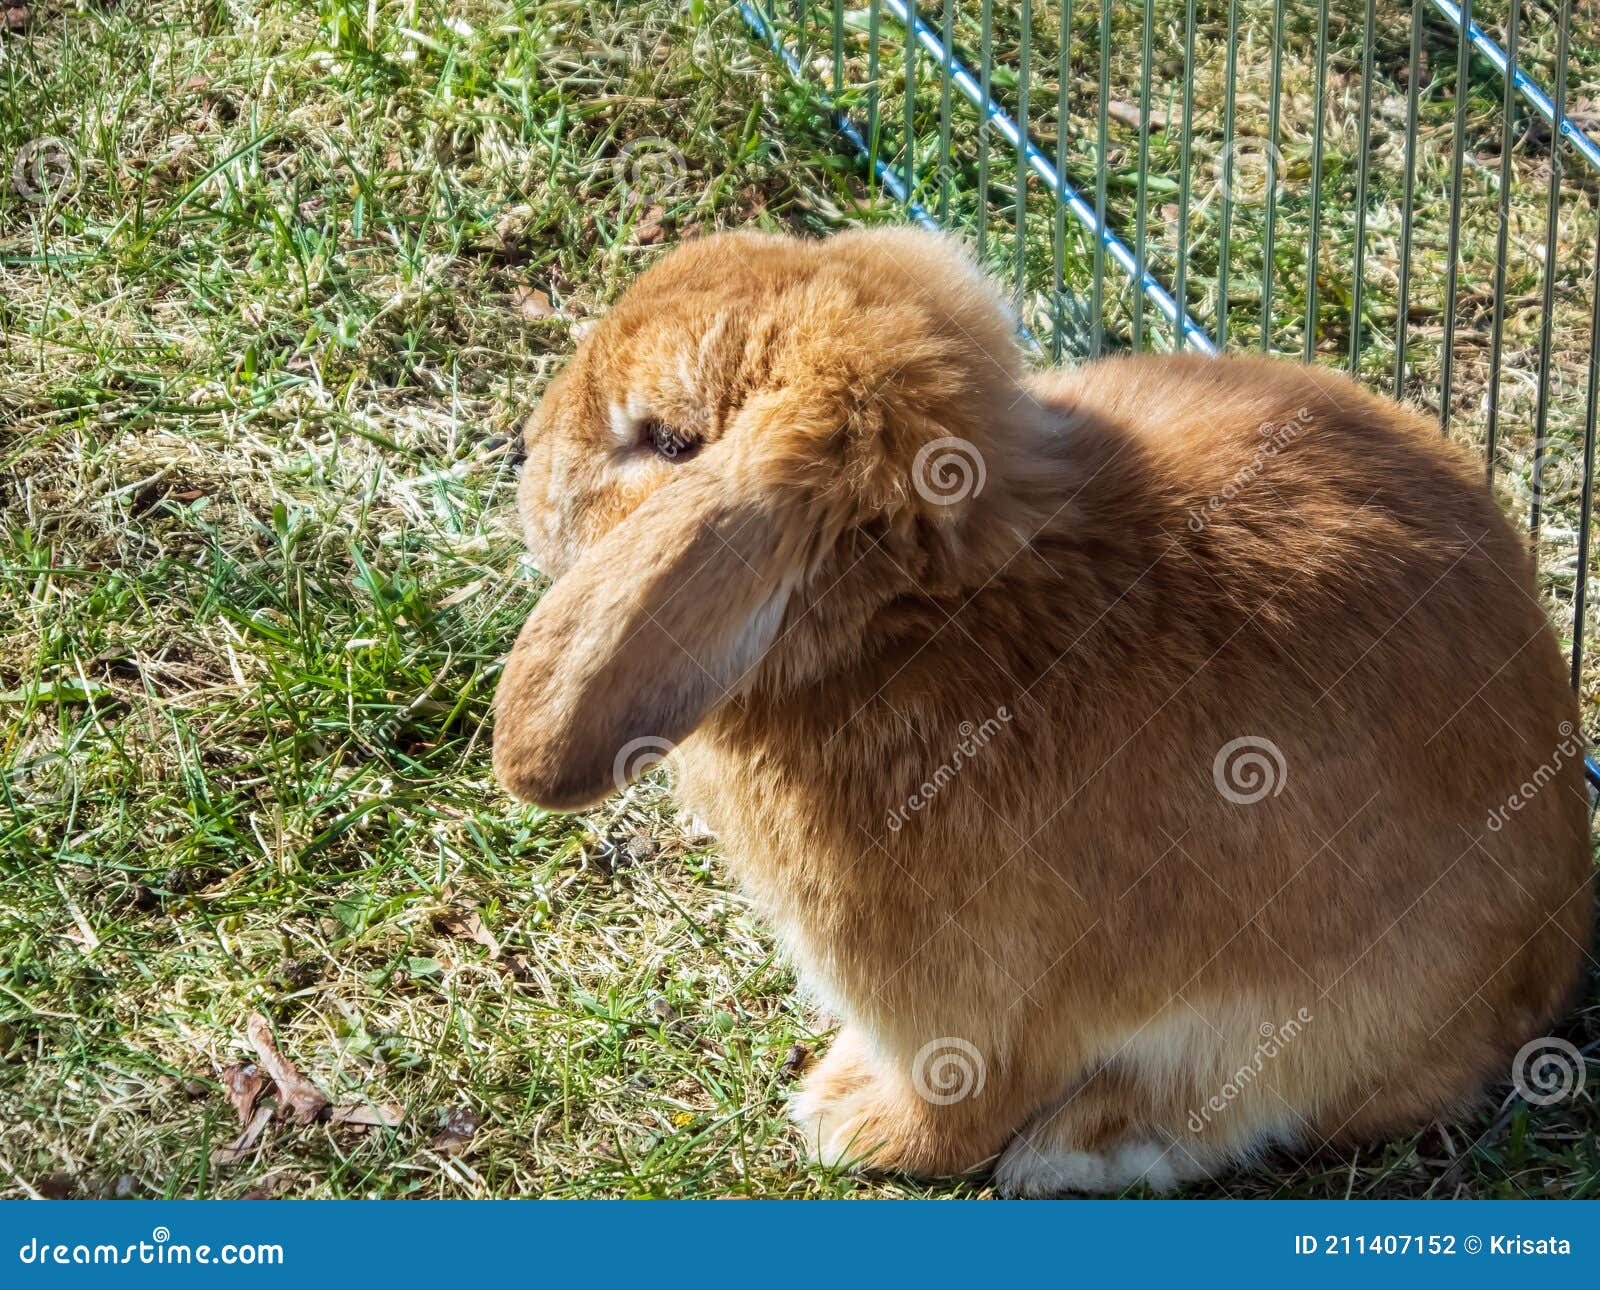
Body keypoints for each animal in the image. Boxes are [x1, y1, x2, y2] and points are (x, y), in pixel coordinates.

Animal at [492, 226, 1593, 1195]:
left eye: (668, 442)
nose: (525, 453)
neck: (914, 618)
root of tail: (1548, 960)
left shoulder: (962, 1007)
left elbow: (956, 1110)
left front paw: (847, 1126)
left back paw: (1081, 1149)